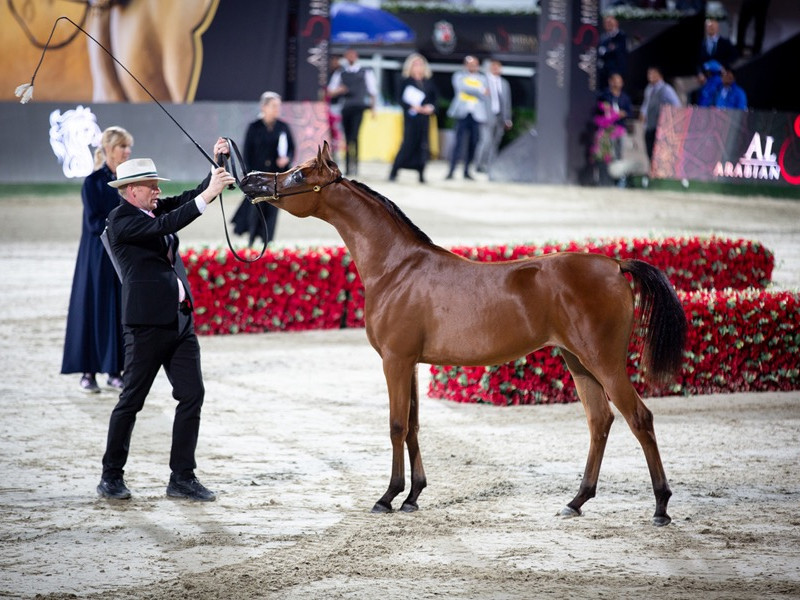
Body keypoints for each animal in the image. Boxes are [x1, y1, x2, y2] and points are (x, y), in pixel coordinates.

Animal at [239, 142, 688, 526]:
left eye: (299, 174)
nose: (252, 180)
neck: (396, 267)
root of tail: (614, 264)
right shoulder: (410, 363)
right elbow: (414, 426)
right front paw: (413, 496)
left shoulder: (394, 360)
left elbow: (396, 425)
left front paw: (388, 496)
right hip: (577, 362)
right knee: (600, 422)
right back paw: (576, 501)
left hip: (604, 361)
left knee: (639, 418)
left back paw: (661, 507)